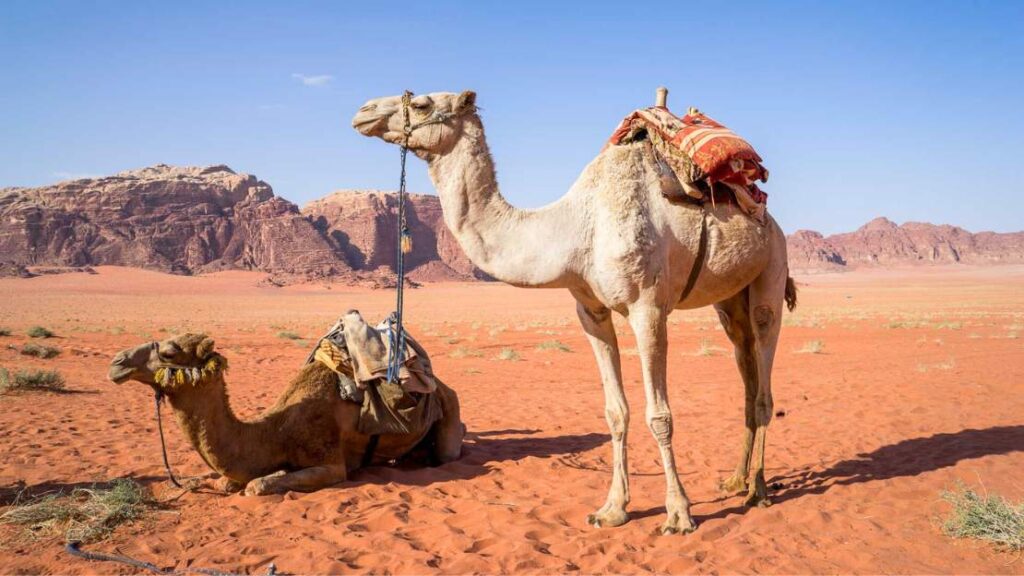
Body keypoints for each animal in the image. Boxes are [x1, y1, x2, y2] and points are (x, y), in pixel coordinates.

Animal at [108, 332, 464, 495]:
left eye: (169, 352)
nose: (117, 362)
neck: (275, 431)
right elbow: (229, 481)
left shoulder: (332, 463)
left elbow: (257, 485)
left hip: (449, 406)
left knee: (448, 451)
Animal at [352, 90, 796, 535]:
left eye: (422, 104)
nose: (363, 112)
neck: (576, 230)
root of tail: (767, 217)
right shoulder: (590, 311)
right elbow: (615, 412)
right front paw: (613, 509)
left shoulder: (648, 308)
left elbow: (659, 415)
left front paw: (678, 514)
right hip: (729, 299)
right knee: (745, 368)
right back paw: (735, 480)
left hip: (771, 269)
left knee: (763, 378)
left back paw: (758, 490)